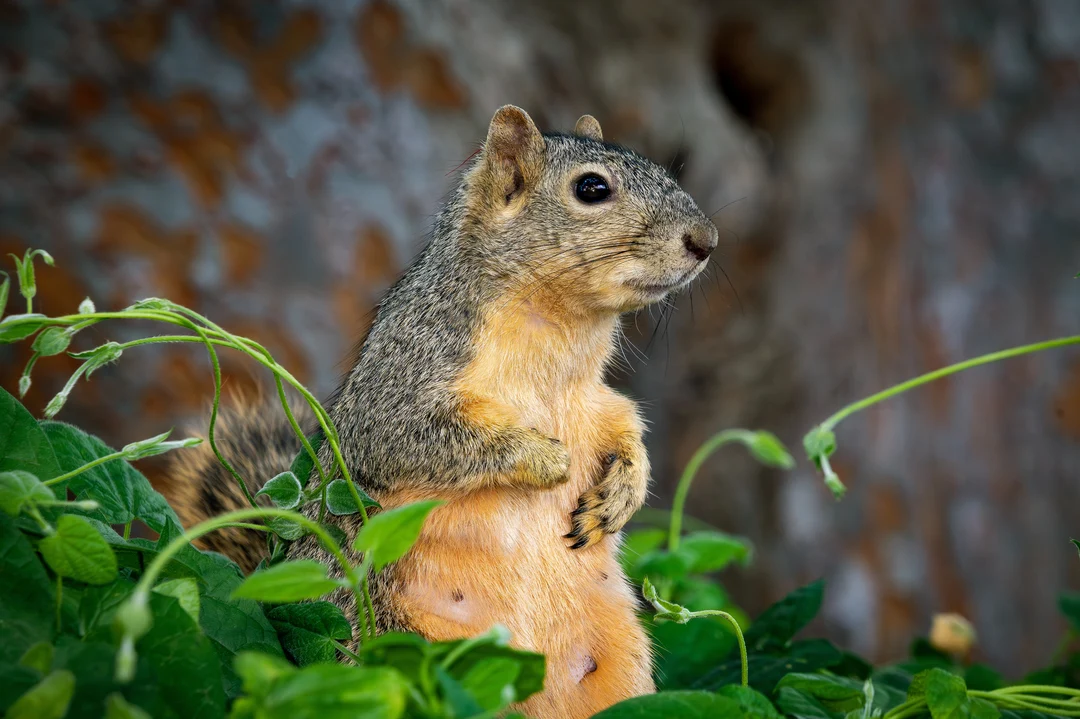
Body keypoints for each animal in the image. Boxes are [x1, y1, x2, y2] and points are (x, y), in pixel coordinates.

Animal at [165, 106, 718, 719]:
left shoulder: (597, 403)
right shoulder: (398, 387)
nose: (706, 240)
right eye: (592, 188)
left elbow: (626, 429)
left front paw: (622, 490)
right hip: (390, 649)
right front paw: (546, 459)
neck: (558, 347)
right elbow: (421, 441)